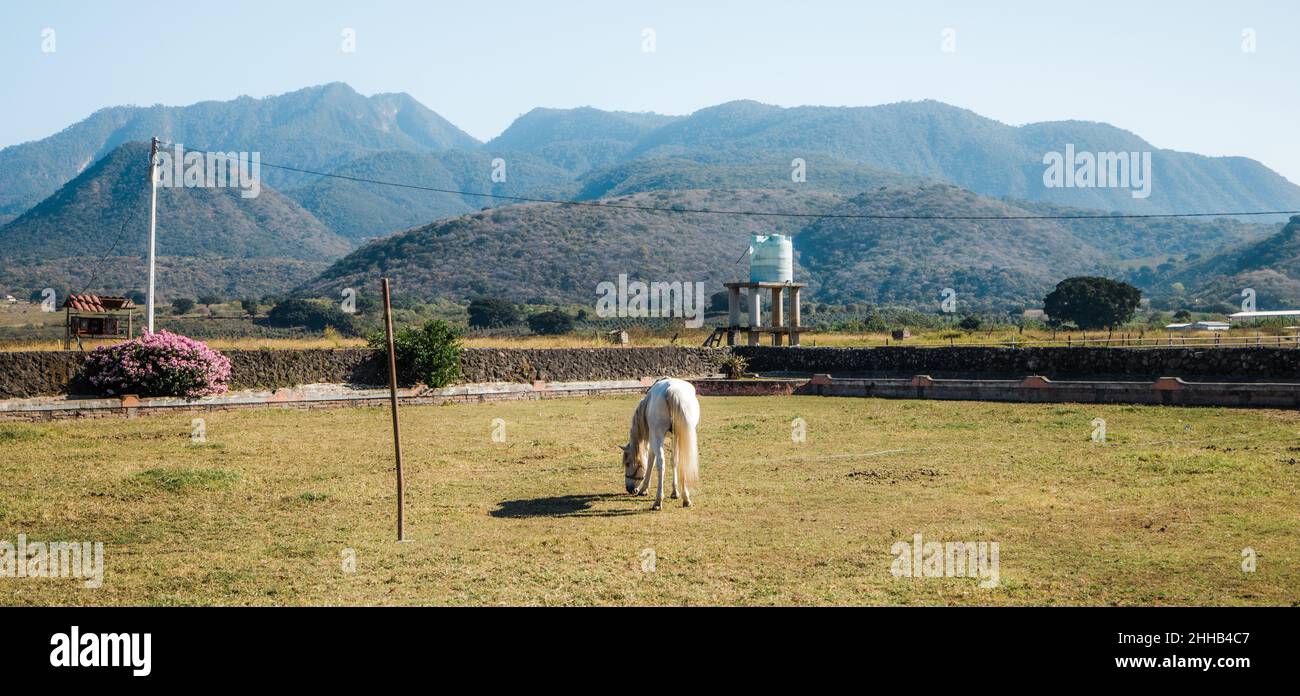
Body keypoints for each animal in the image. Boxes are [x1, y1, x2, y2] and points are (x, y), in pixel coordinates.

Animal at [620, 377, 700, 510]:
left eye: (627, 464)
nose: (629, 489)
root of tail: (671, 391)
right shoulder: (675, 437)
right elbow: (674, 461)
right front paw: (675, 492)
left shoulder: (652, 438)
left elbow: (650, 462)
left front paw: (644, 489)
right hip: (683, 434)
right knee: (682, 461)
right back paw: (686, 499)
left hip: (658, 436)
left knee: (660, 463)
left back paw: (658, 501)